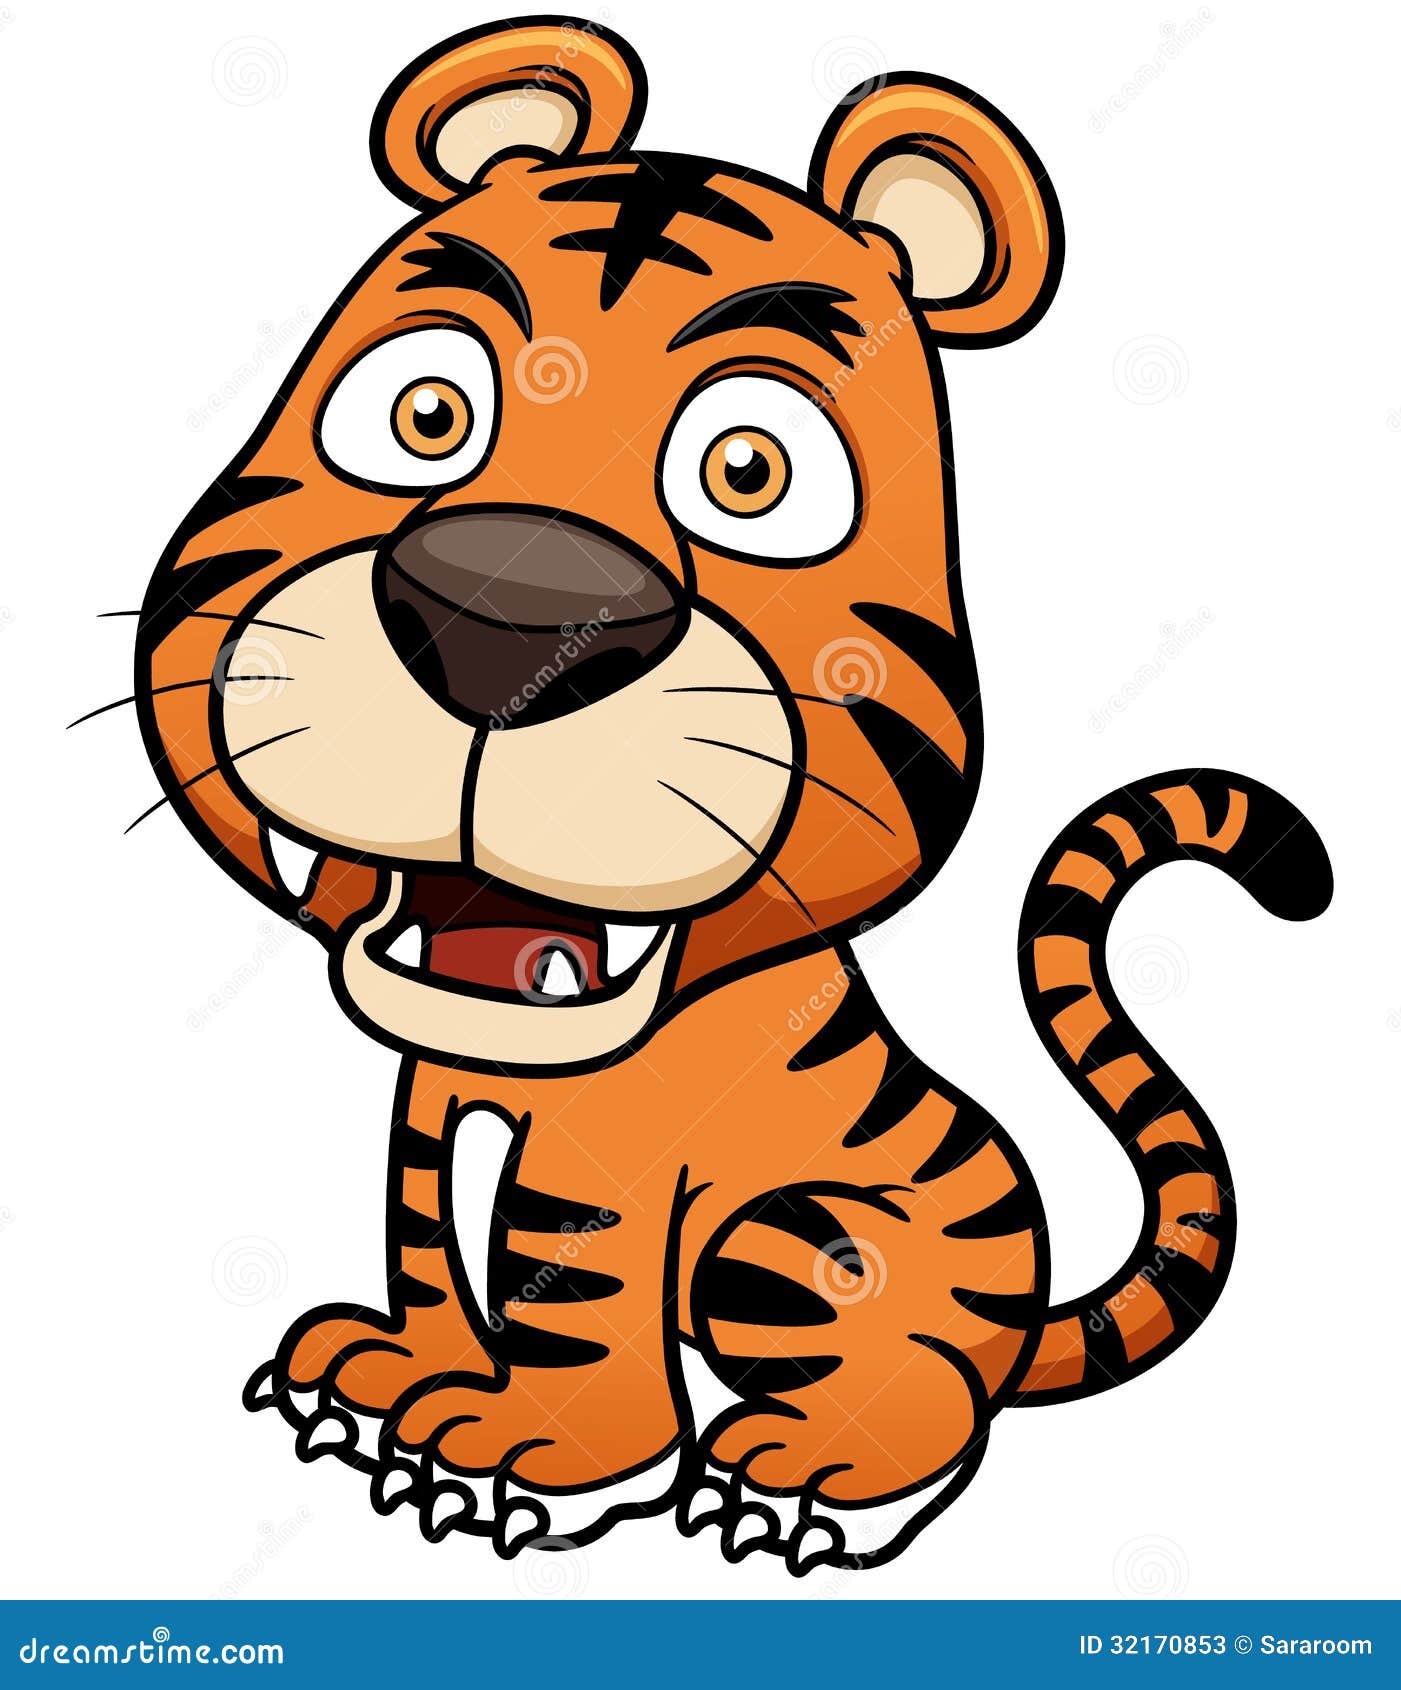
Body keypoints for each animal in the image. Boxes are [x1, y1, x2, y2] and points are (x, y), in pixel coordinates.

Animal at [128, 18, 1332, 1573]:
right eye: (424, 409)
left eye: (749, 469)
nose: (503, 615)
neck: (518, 1055)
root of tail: (1021, 1326)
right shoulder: (426, 1112)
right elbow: (427, 1246)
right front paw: (397, 1377)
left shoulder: (615, 1169)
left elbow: (573, 1315)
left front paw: (529, 1459)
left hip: (803, 1238)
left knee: (931, 1403)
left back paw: (807, 1475)